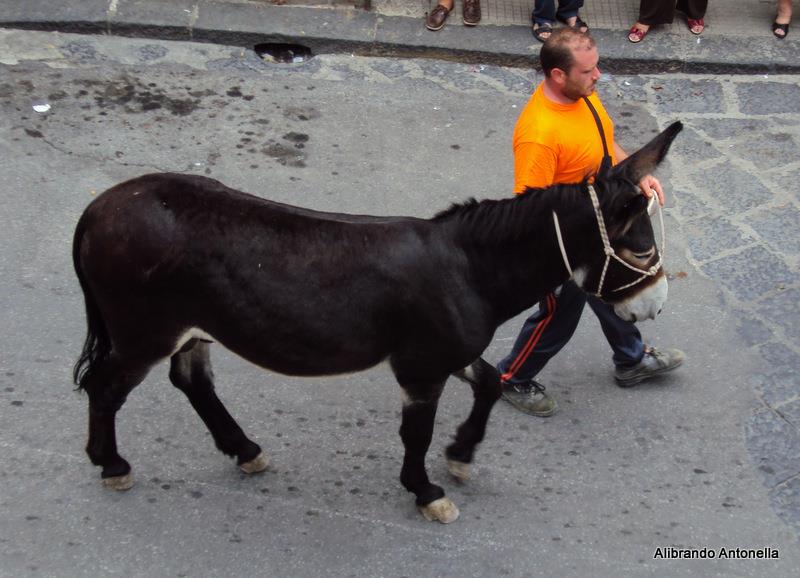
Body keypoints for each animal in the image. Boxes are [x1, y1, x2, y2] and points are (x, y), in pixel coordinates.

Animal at [72, 121, 682, 523]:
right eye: (640, 244)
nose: (655, 306)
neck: (469, 268)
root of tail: (97, 208)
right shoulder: (421, 367)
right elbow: (417, 434)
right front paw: (426, 491)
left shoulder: (449, 351)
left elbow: (489, 383)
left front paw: (461, 456)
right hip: (143, 330)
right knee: (105, 387)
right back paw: (112, 465)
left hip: (191, 328)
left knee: (191, 381)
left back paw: (244, 451)